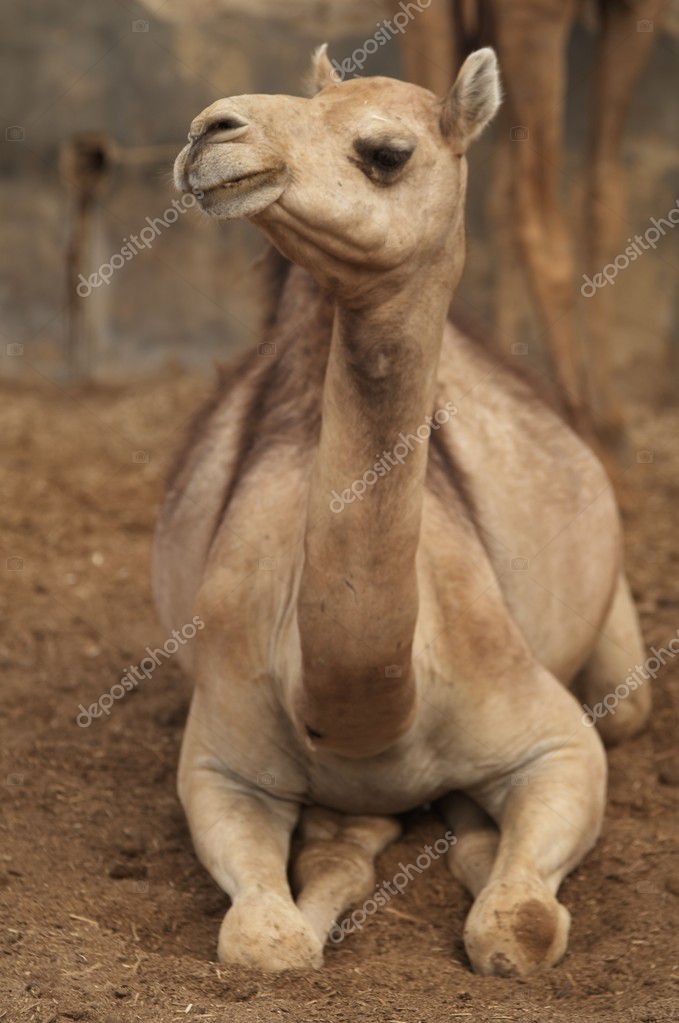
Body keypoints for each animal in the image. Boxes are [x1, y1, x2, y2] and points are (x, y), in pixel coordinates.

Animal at [153, 46, 651, 977]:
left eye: (386, 152)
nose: (211, 131)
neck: (367, 710)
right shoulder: (218, 762)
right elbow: (265, 939)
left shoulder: (560, 741)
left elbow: (518, 925)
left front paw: (478, 853)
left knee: (628, 702)